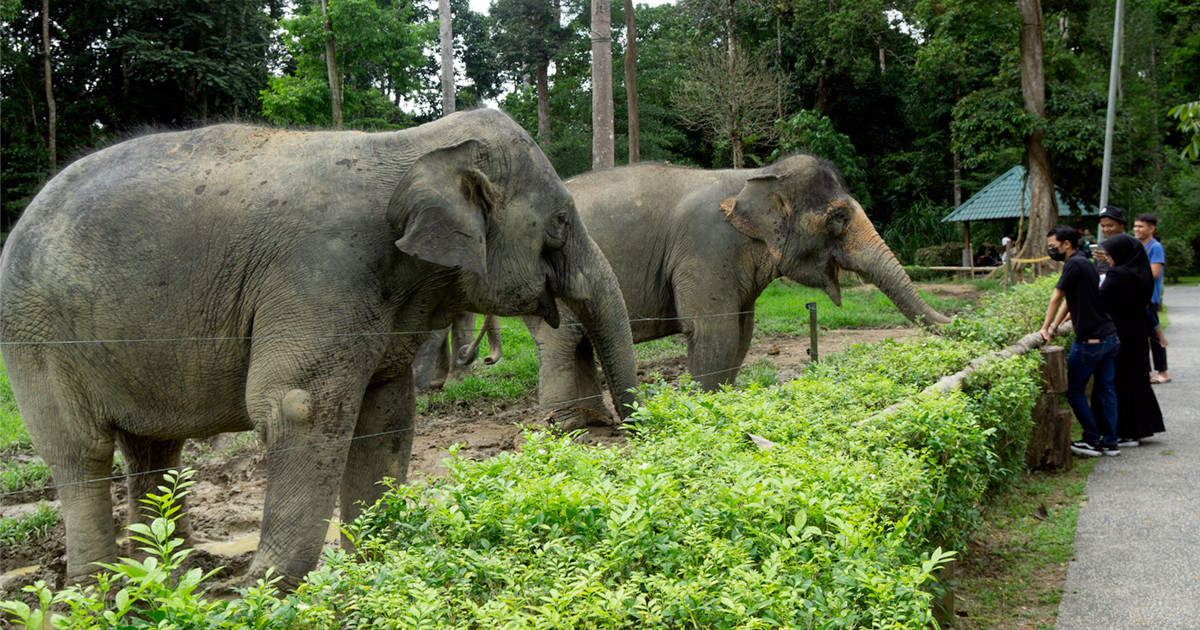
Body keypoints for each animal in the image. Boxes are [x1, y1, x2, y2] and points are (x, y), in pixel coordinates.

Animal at [0, 108, 637, 588]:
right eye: (560, 222)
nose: (624, 434)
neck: (415, 145)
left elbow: (386, 418)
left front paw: (375, 566)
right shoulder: (321, 275)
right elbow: (298, 408)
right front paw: (260, 594)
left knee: (154, 452)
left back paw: (173, 577)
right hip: (35, 335)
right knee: (81, 453)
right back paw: (99, 590)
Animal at [527, 155, 949, 426]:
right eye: (838, 219)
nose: (961, 327)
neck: (757, 175)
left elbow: (743, 330)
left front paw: (725, 404)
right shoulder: (706, 248)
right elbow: (714, 329)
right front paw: (705, 411)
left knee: (576, 344)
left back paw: (592, 422)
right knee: (563, 342)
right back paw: (572, 428)